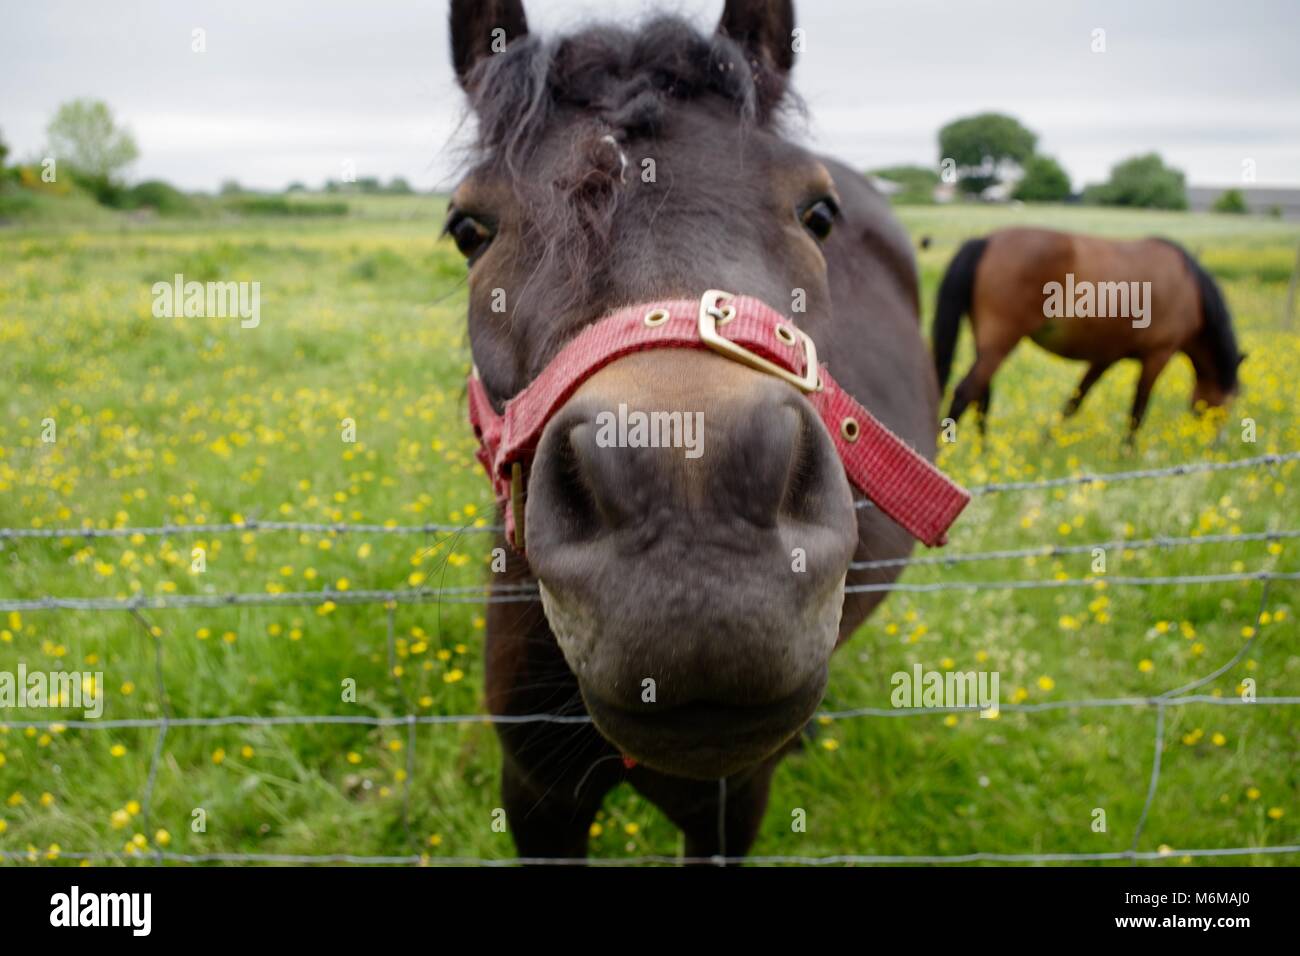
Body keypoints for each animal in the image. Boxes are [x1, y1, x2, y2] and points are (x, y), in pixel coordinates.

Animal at [932, 227, 1244, 439]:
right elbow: (1138, 410)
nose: (1215, 444)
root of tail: (986, 240)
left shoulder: (1105, 358)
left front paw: (1046, 442)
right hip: (1000, 342)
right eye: (1226, 405)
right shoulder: (1158, 355)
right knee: (966, 392)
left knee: (981, 396)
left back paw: (983, 453)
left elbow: (1074, 402)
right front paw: (1126, 455)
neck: (1191, 290)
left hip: (986, 342)